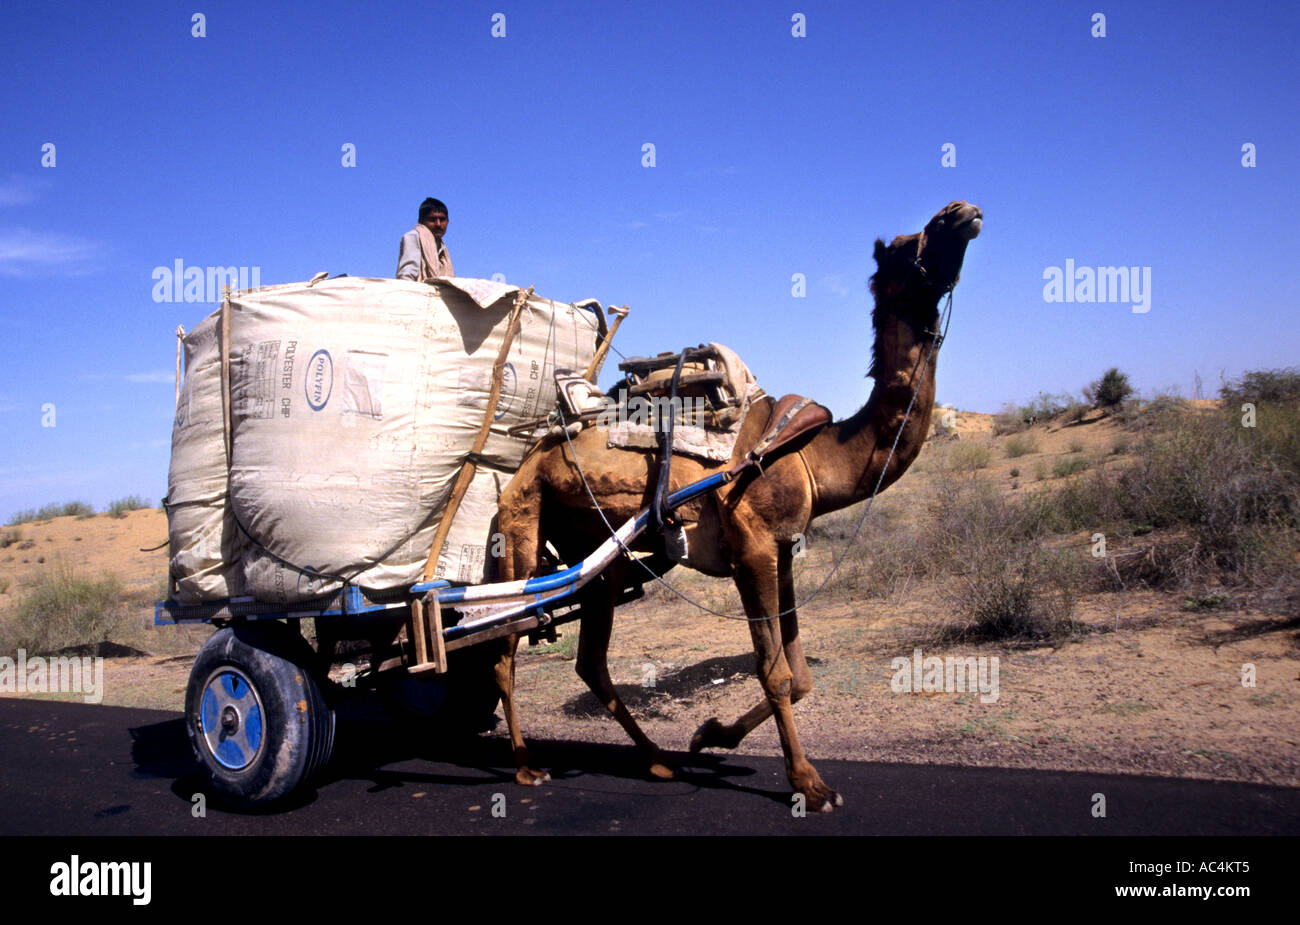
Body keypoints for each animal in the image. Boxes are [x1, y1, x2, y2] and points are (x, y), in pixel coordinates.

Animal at [494, 200, 982, 811]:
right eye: (904, 244)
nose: (963, 213)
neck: (814, 456)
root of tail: (527, 457)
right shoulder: (751, 545)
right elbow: (774, 673)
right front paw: (810, 784)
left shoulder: (783, 549)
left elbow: (800, 674)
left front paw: (709, 735)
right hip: (523, 526)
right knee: (504, 645)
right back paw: (525, 767)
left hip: (595, 554)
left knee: (589, 663)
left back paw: (657, 760)